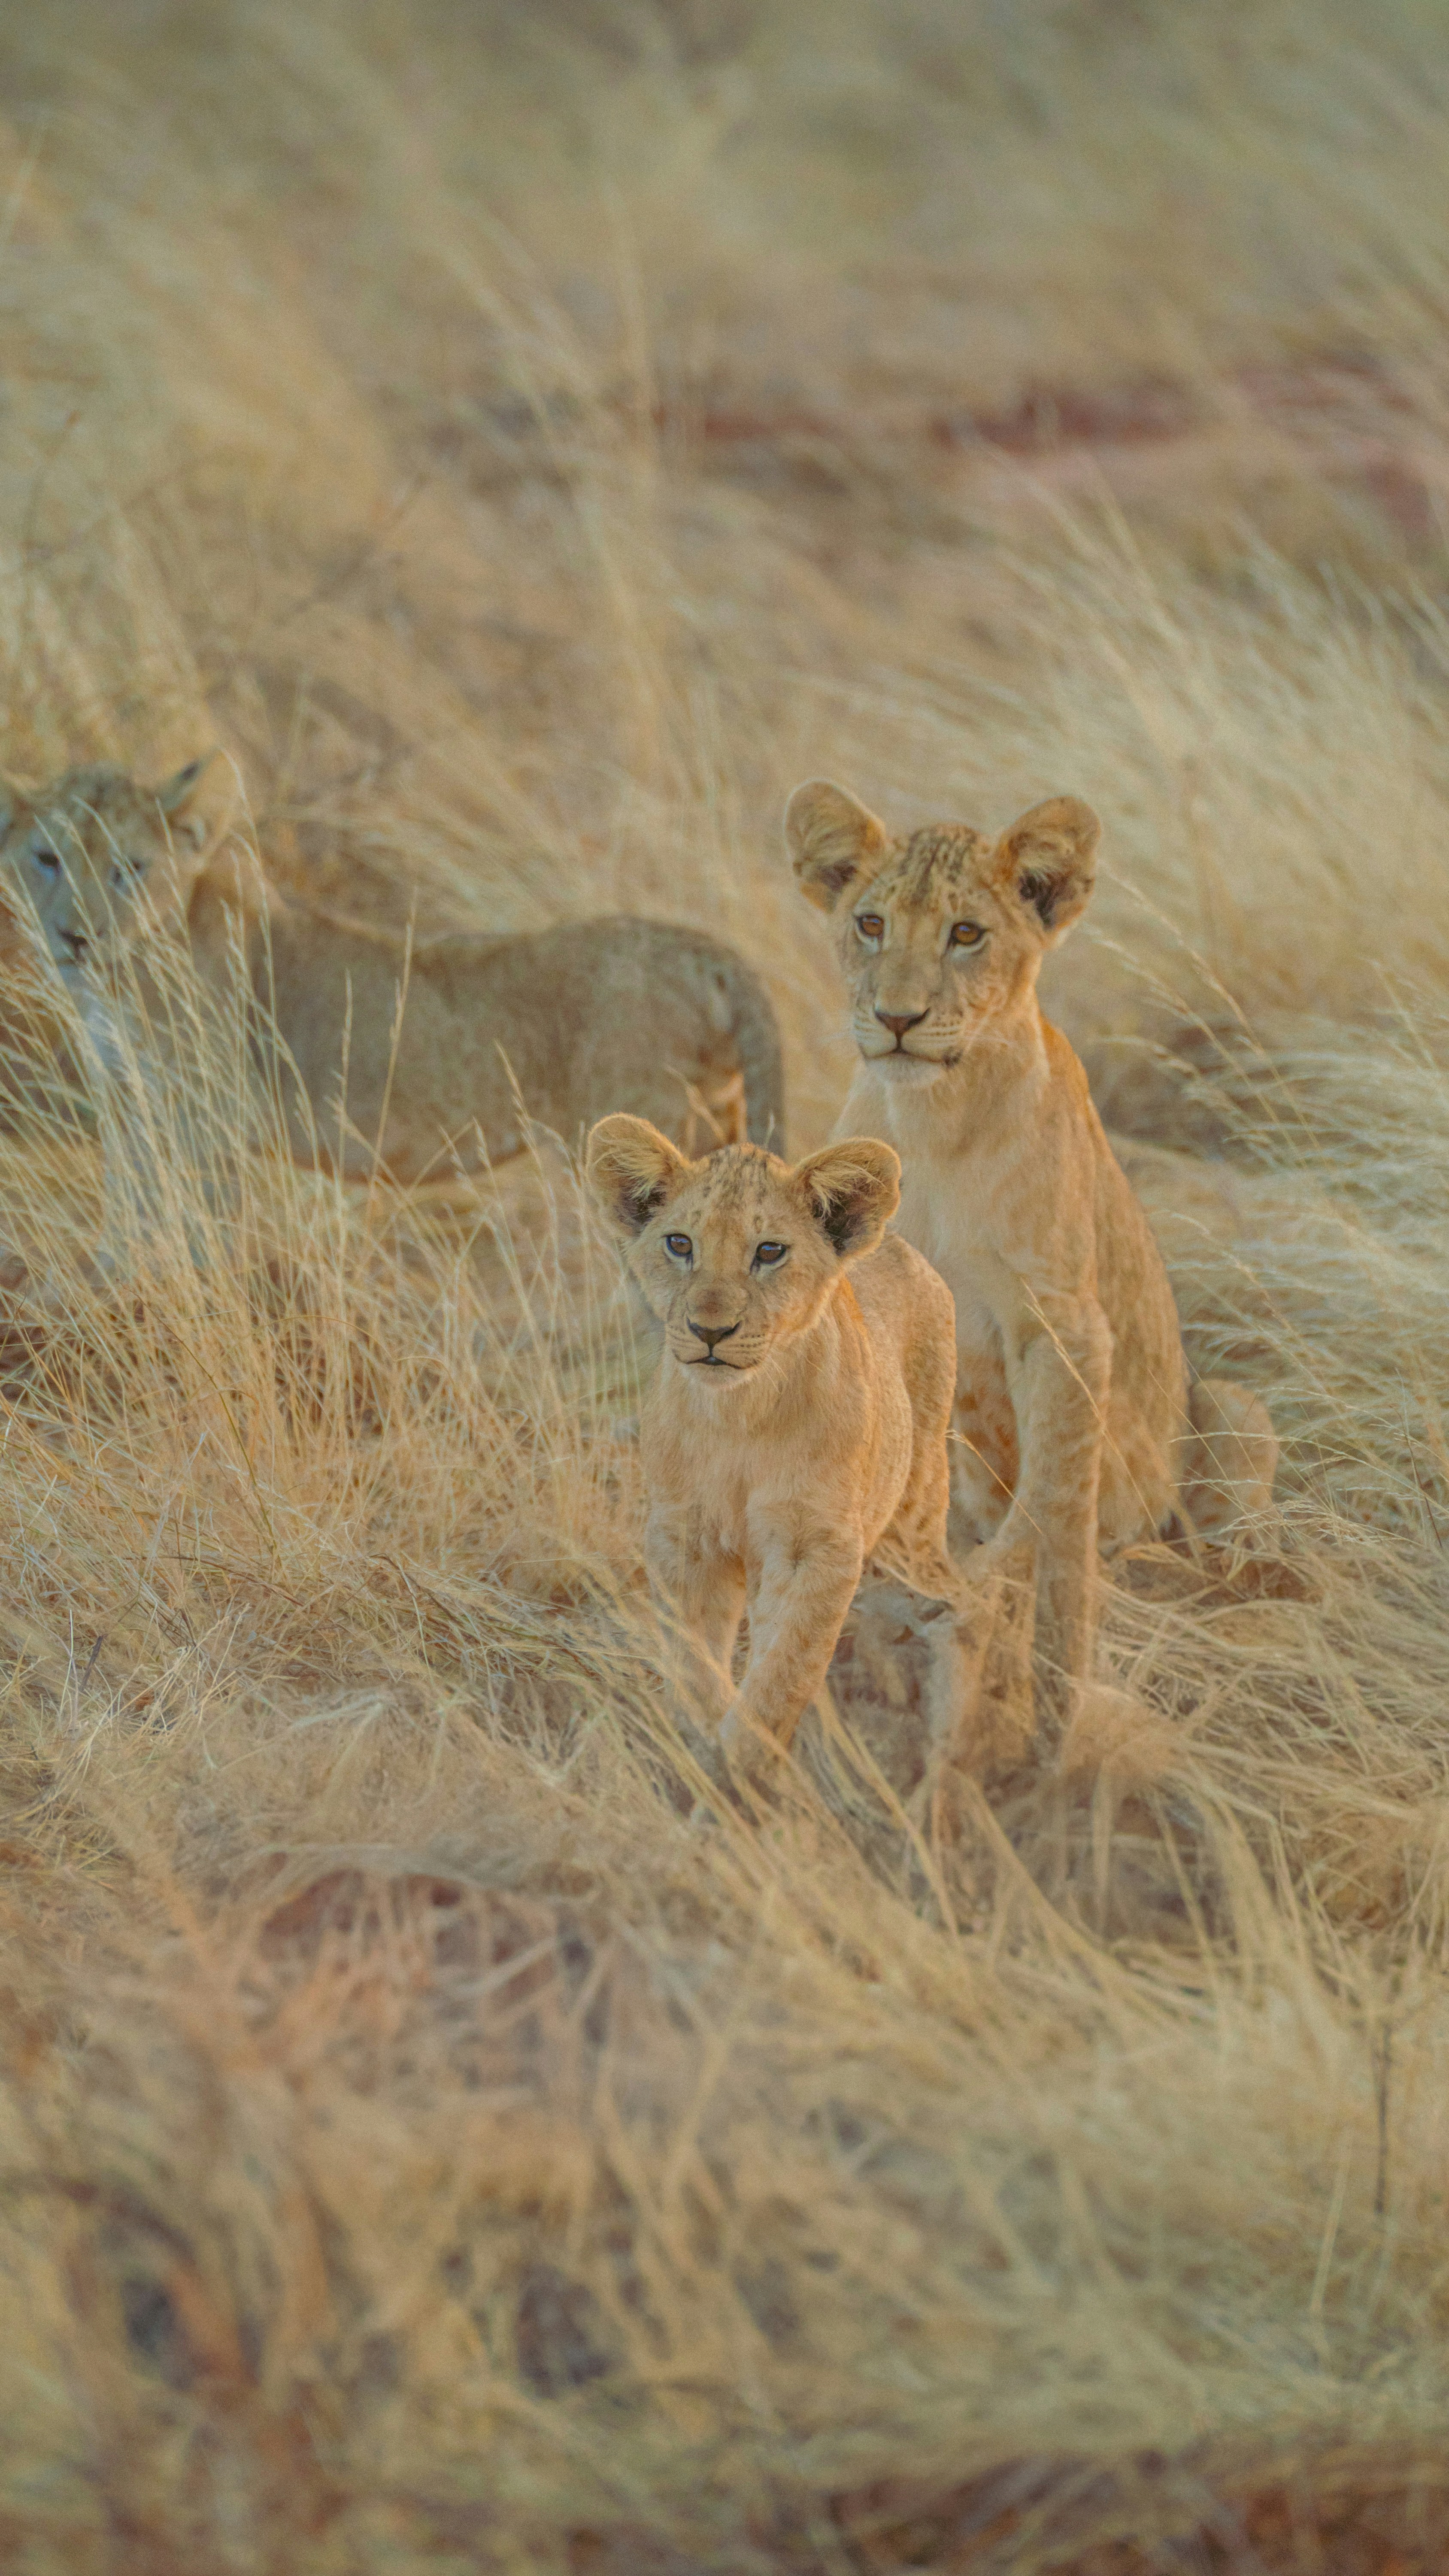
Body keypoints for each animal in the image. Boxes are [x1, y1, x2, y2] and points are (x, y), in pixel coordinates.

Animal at [585, 1116, 966, 1770]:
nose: (710, 1330)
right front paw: (703, 1736)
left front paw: (743, 1758)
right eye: (680, 1244)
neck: (740, 1417)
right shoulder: (682, 1535)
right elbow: (692, 1653)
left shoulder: (817, 1546)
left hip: (913, 1518)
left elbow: (787, 1663)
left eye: (769, 1252)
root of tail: (899, 1248)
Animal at [786, 777, 1278, 1741]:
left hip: (1233, 1415)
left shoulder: (1064, 1324)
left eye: (966, 934)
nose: (896, 1018)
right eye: (869, 924)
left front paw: (1031, 1632)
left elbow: (1053, 1490)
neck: (934, 1120)